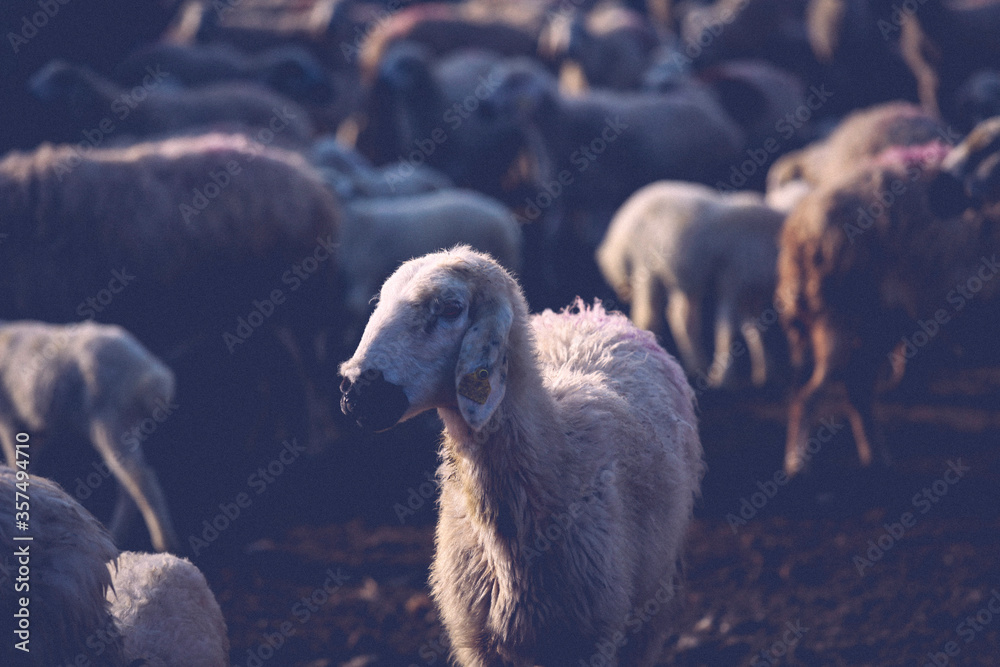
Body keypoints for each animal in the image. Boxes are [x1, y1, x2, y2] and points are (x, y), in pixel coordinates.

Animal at [0, 319, 178, 552]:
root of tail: (154, 377)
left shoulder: (8, 418)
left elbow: (17, 462)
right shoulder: (35, 430)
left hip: (107, 420)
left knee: (140, 478)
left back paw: (163, 543)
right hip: (129, 427)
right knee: (130, 486)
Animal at [339, 246, 704, 666]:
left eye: (450, 308)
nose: (352, 391)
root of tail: (587, 311)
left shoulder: (591, 639)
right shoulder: (477, 643)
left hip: (651, 606)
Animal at [597, 181, 787, 388]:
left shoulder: (750, 292)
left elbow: (755, 328)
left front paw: (767, 372)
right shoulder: (731, 281)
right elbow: (727, 329)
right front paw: (726, 377)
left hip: (682, 278)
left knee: (681, 318)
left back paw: (695, 366)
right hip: (646, 268)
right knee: (648, 316)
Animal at [776, 134, 1000, 476]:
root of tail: (799, 226)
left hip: (878, 322)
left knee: (856, 388)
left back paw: (878, 459)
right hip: (838, 317)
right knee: (811, 394)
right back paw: (799, 466)